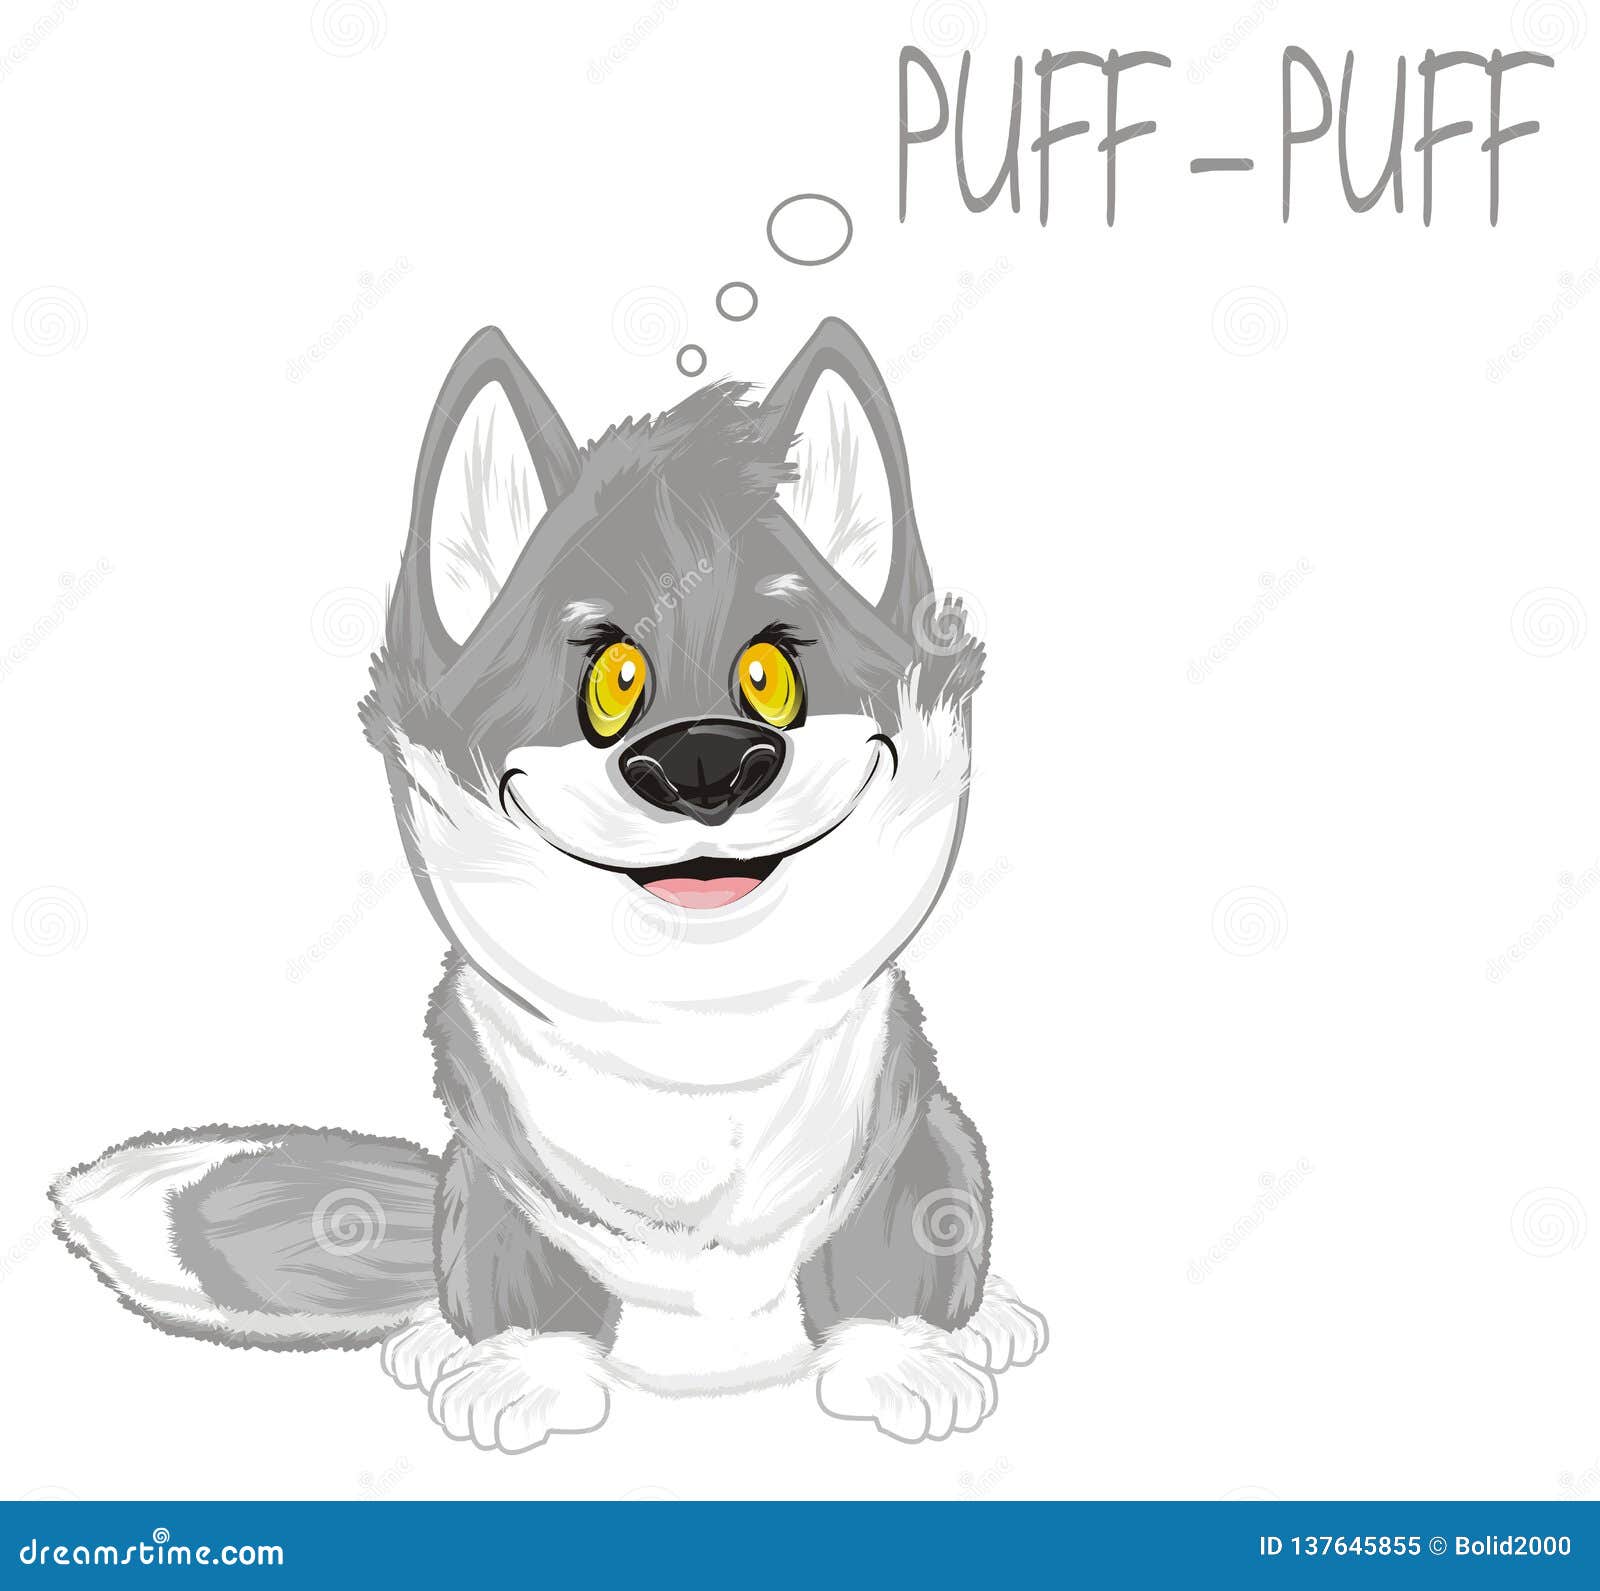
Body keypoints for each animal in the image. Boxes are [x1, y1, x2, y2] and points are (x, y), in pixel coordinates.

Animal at [50, 319, 1047, 1451]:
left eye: (770, 677)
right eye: (611, 681)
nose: (706, 762)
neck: (697, 1042)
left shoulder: (911, 1145)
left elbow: (893, 1254)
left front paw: (900, 1359)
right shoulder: (496, 1183)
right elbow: (522, 1285)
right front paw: (517, 1370)